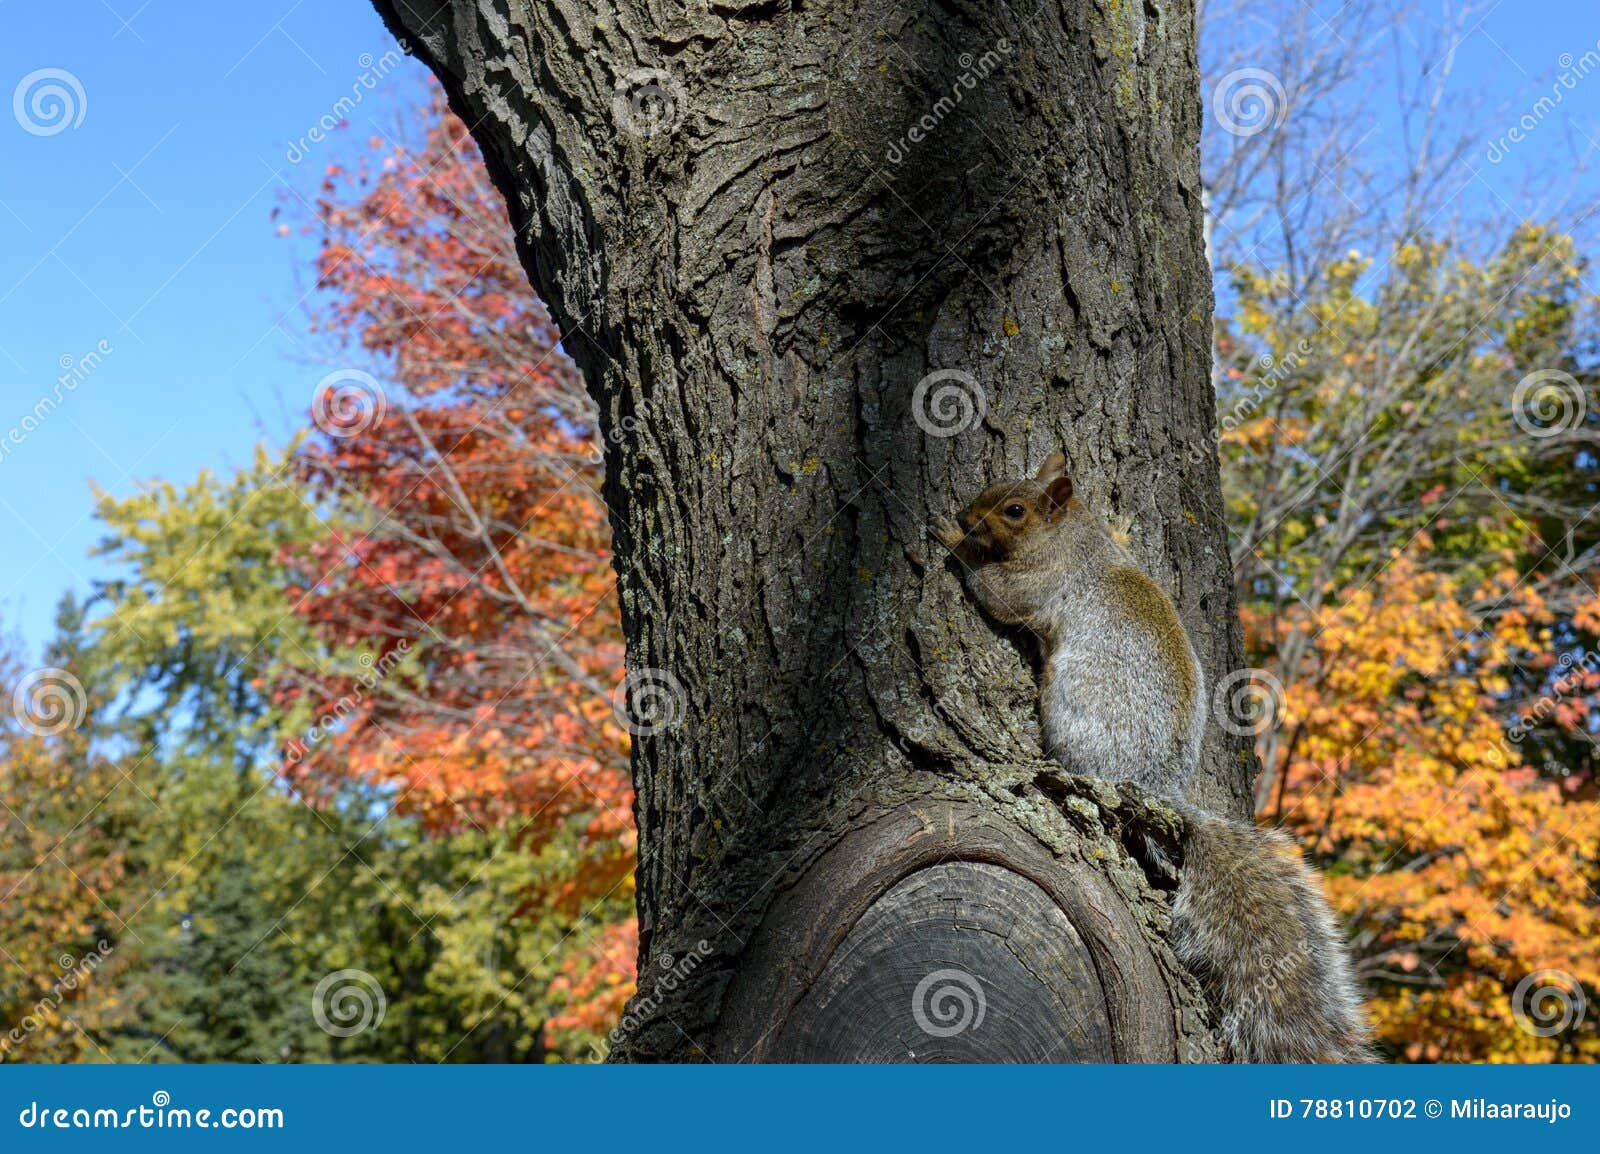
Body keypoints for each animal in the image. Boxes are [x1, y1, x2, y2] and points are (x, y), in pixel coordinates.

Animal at [934, 451, 1374, 1064]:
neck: (1073, 535)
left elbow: (992, 592)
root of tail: (1154, 788)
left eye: (1014, 510)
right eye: (996, 484)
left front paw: (950, 538)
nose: (964, 514)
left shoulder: (1035, 584)